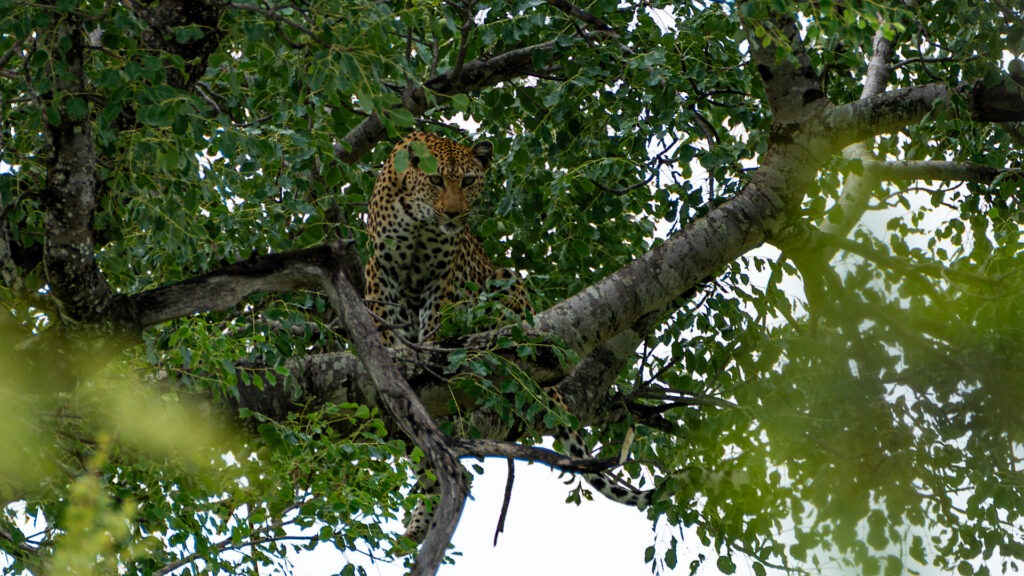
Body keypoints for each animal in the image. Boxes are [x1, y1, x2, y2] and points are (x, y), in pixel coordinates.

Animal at [362, 132, 652, 547]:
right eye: (435, 181)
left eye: (468, 181)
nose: (454, 215)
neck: (420, 223)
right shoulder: (381, 277)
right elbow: (386, 334)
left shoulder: (441, 283)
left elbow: (433, 328)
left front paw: (431, 359)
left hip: (506, 279)